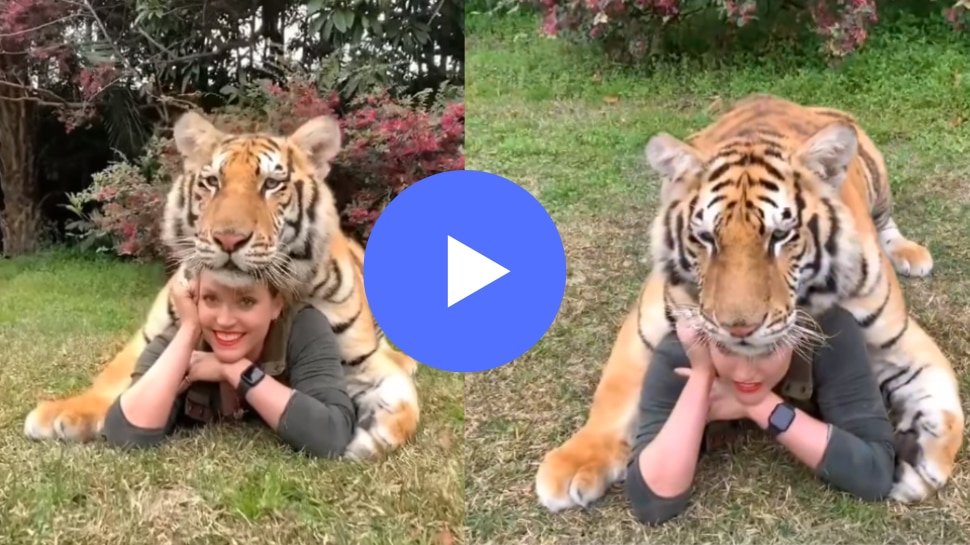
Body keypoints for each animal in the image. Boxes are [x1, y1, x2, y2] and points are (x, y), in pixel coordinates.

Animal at [23, 111, 421, 461]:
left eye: (271, 184)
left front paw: (370, 438)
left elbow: (405, 402)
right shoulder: (152, 336)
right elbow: (114, 379)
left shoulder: (363, 360)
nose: (229, 239)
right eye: (212, 182)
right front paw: (63, 413)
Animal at [535, 93, 964, 511]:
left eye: (781, 236)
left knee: (887, 221)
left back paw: (911, 253)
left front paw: (921, 463)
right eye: (706, 237)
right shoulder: (651, 315)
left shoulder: (897, 337)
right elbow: (614, 391)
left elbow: (948, 402)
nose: (738, 327)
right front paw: (572, 465)